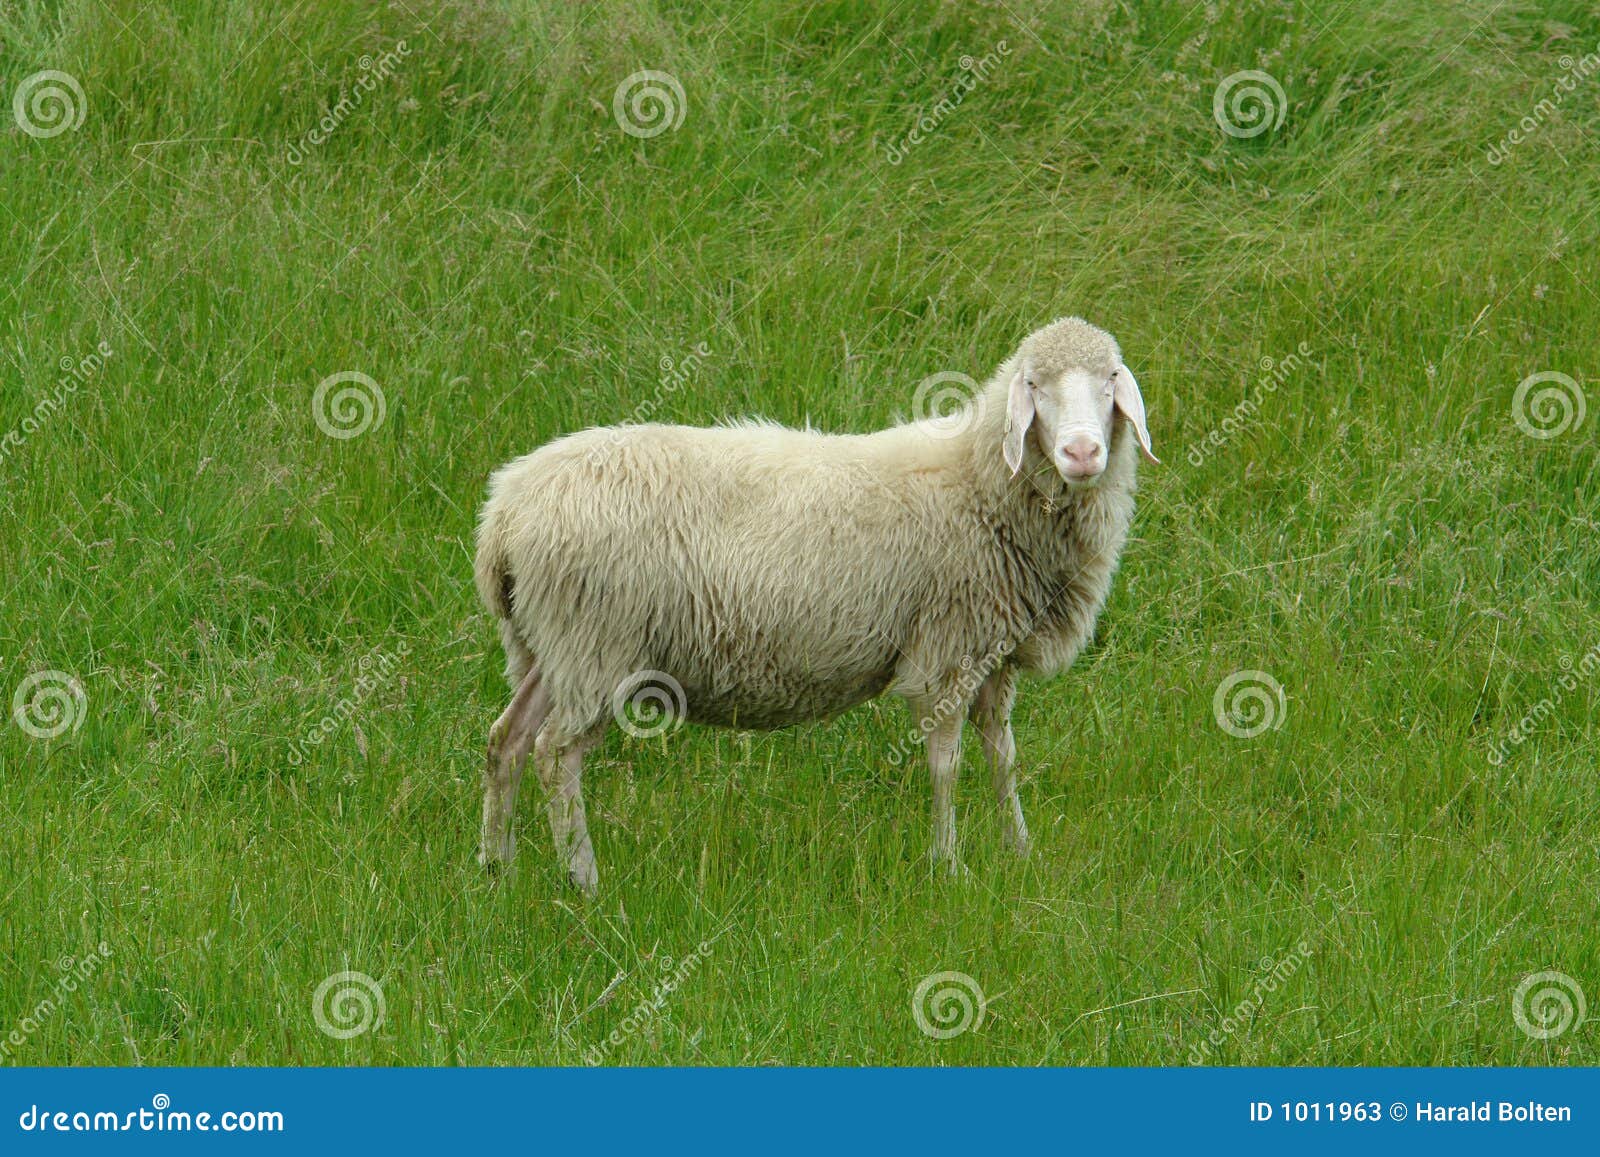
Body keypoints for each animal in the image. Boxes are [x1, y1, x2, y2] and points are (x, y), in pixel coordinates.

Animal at [473, 316, 1157, 892]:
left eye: (1109, 382)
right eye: (1034, 386)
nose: (1082, 454)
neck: (980, 481)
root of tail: (504, 511)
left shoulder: (992, 650)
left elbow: (1003, 757)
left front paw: (1019, 851)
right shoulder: (946, 651)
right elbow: (946, 764)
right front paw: (950, 865)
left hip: (549, 645)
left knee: (507, 738)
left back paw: (496, 869)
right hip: (595, 642)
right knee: (555, 753)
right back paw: (583, 879)